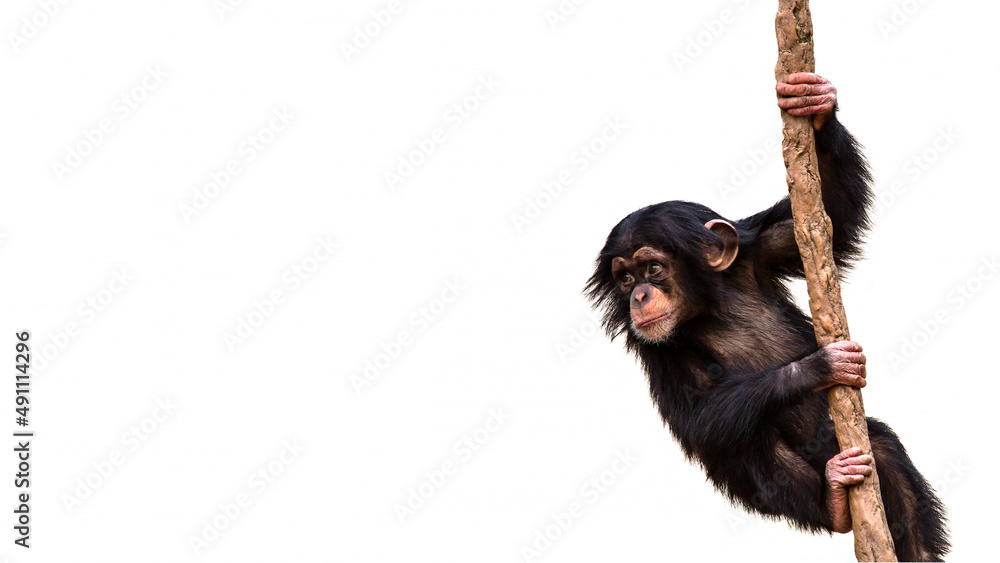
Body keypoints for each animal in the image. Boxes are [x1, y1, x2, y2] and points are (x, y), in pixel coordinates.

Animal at [586, 74, 949, 561]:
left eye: (653, 269)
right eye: (623, 277)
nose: (639, 296)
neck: (709, 305)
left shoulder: (759, 250)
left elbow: (826, 220)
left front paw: (817, 105)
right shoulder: (660, 350)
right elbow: (699, 417)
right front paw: (819, 366)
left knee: (885, 451)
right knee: (744, 441)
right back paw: (833, 502)